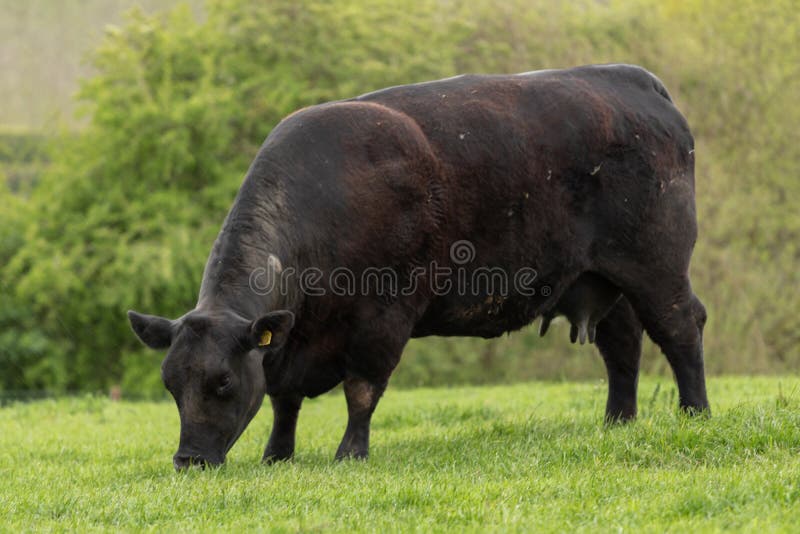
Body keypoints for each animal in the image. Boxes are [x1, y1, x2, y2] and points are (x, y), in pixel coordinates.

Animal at [128, 64, 709, 470]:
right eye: (170, 383)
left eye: (223, 382)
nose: (189, 461)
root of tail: (633, 79)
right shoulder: (288, 343)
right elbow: (282, 400)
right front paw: (277, 455)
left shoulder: (383, 316)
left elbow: (362, 390)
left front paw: (350, 453)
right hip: (601, 277)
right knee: (623, 344)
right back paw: (617, 422)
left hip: (656, 263)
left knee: (681, 326)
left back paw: (695, 413)